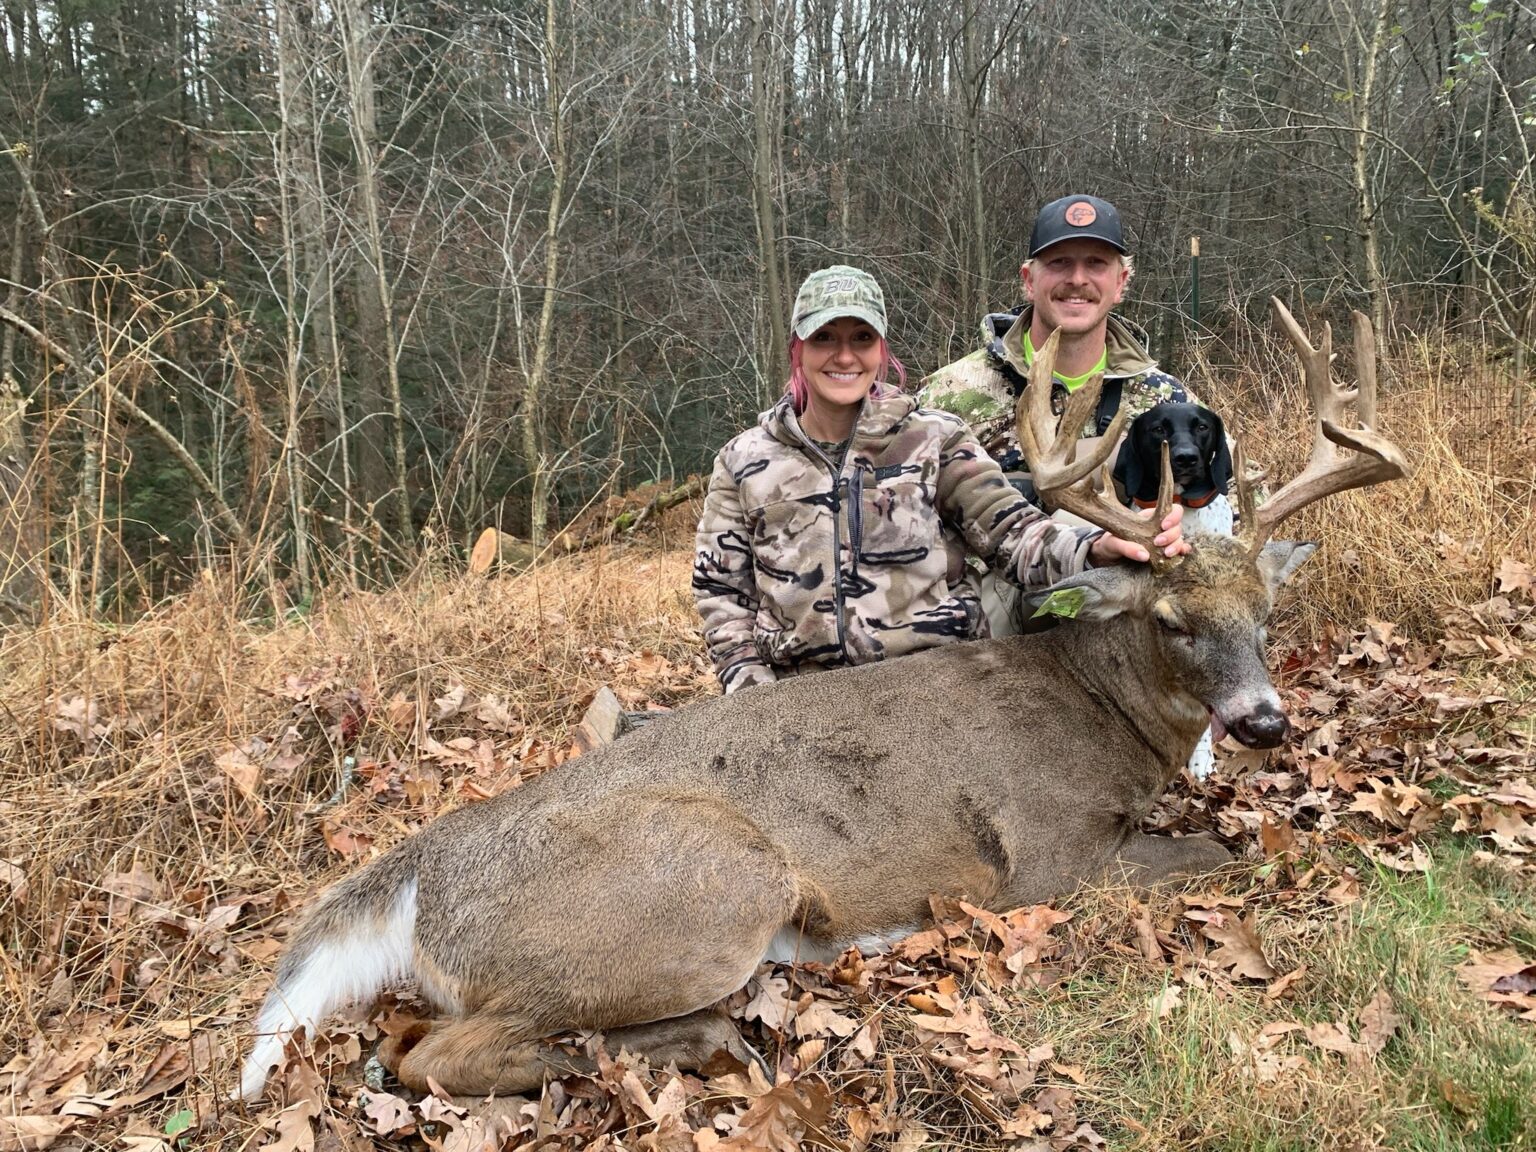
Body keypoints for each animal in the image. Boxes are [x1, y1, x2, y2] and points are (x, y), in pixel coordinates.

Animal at [238, 298, 1408, 1102]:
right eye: (1171, 618)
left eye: (1267, 611)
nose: (1263, 720)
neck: (1103, 714)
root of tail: (418, 874)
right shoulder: (1049, 858)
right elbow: (1221, 853)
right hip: (712, 888)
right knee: (436, 1050)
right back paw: (696, 1042)